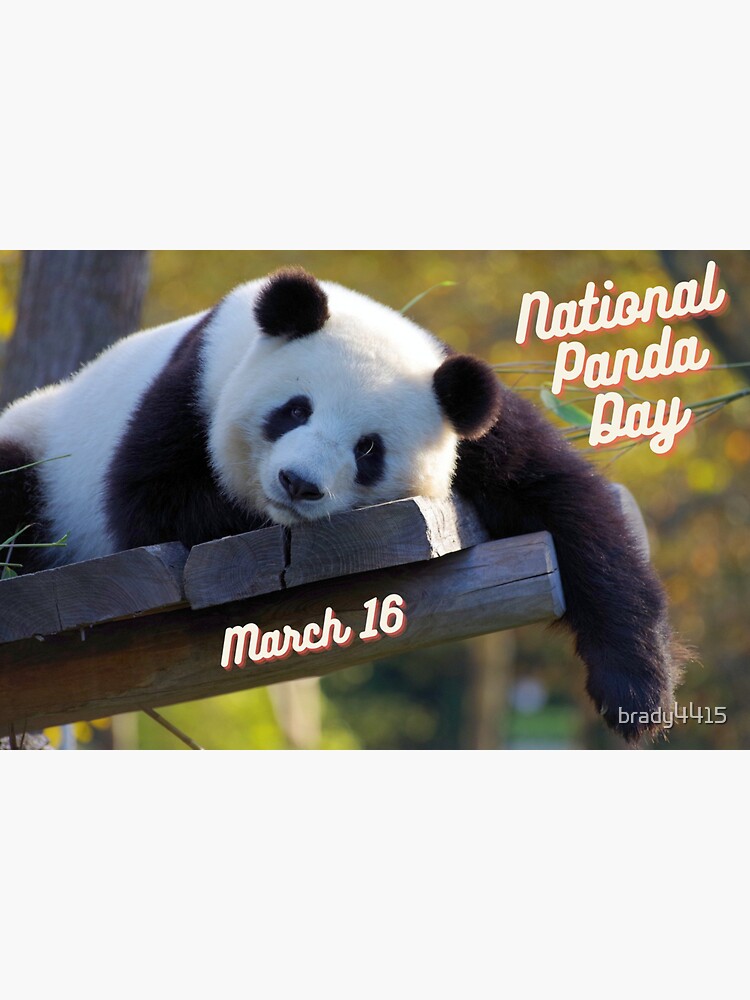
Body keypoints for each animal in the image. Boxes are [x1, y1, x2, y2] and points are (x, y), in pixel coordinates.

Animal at [0, 267, 685, 742]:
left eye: (369, 450)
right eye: (294, 409)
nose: (298, 483)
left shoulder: (472, 420)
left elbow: (567, 501)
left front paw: (638, 693)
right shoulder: (192, 384)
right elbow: (150, 500)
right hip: (42, 452)